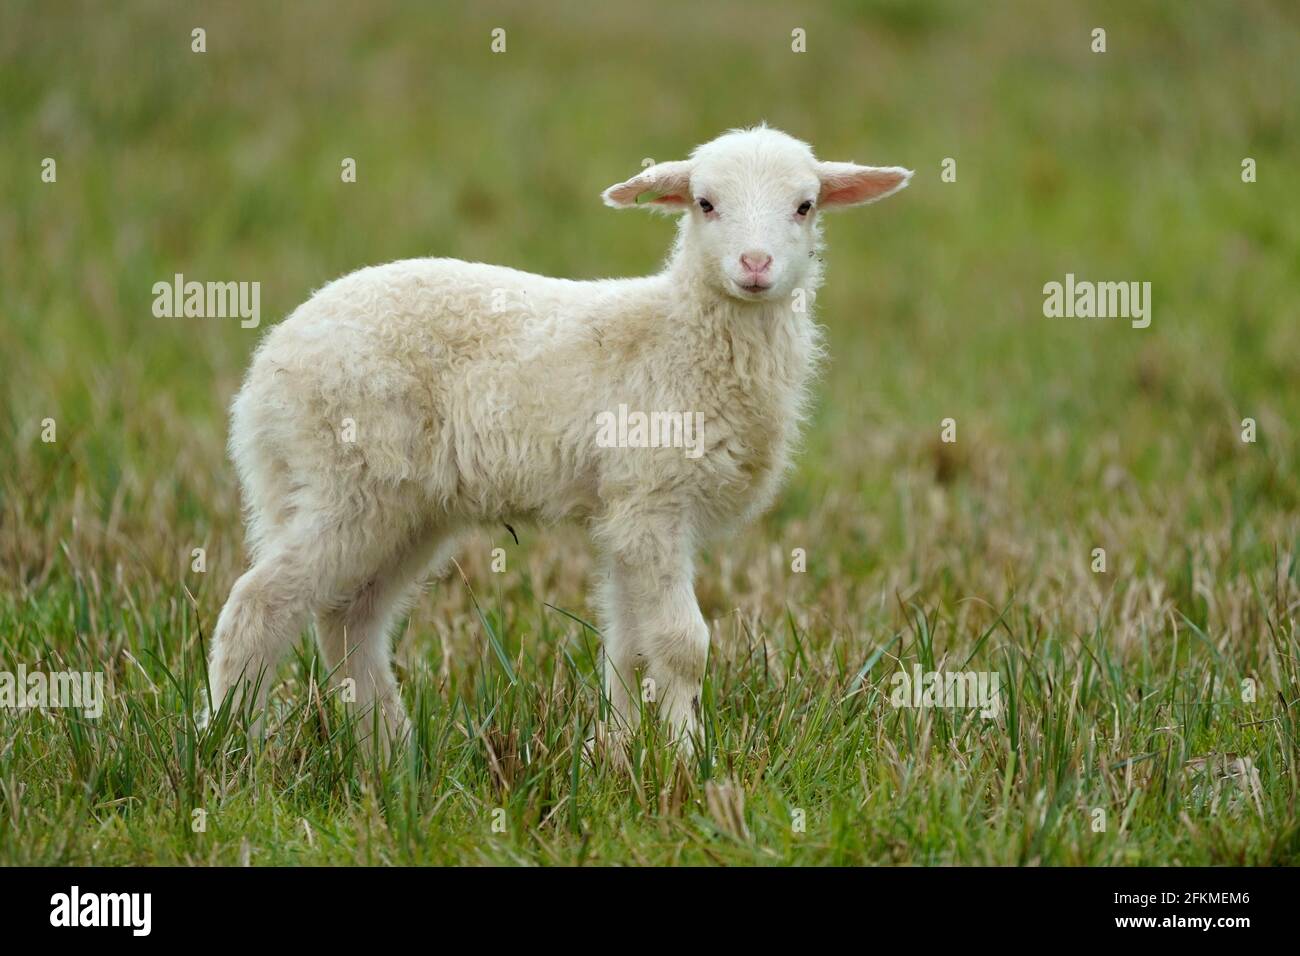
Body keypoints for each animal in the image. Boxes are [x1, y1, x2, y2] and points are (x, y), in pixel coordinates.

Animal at [205, 126, 911, 753]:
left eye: (805, 206)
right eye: (706, 204)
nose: (755, 265)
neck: (680, 337)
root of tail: (264, 376)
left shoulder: (626, 509)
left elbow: (627, 644)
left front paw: (621, 751)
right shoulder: (653, 499)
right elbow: (683, 644)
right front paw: (691, 761)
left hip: (402, 507)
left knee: (349, 619)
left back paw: (392, 757)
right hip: (347, 479)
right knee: (259, 603)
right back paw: (230, 747)